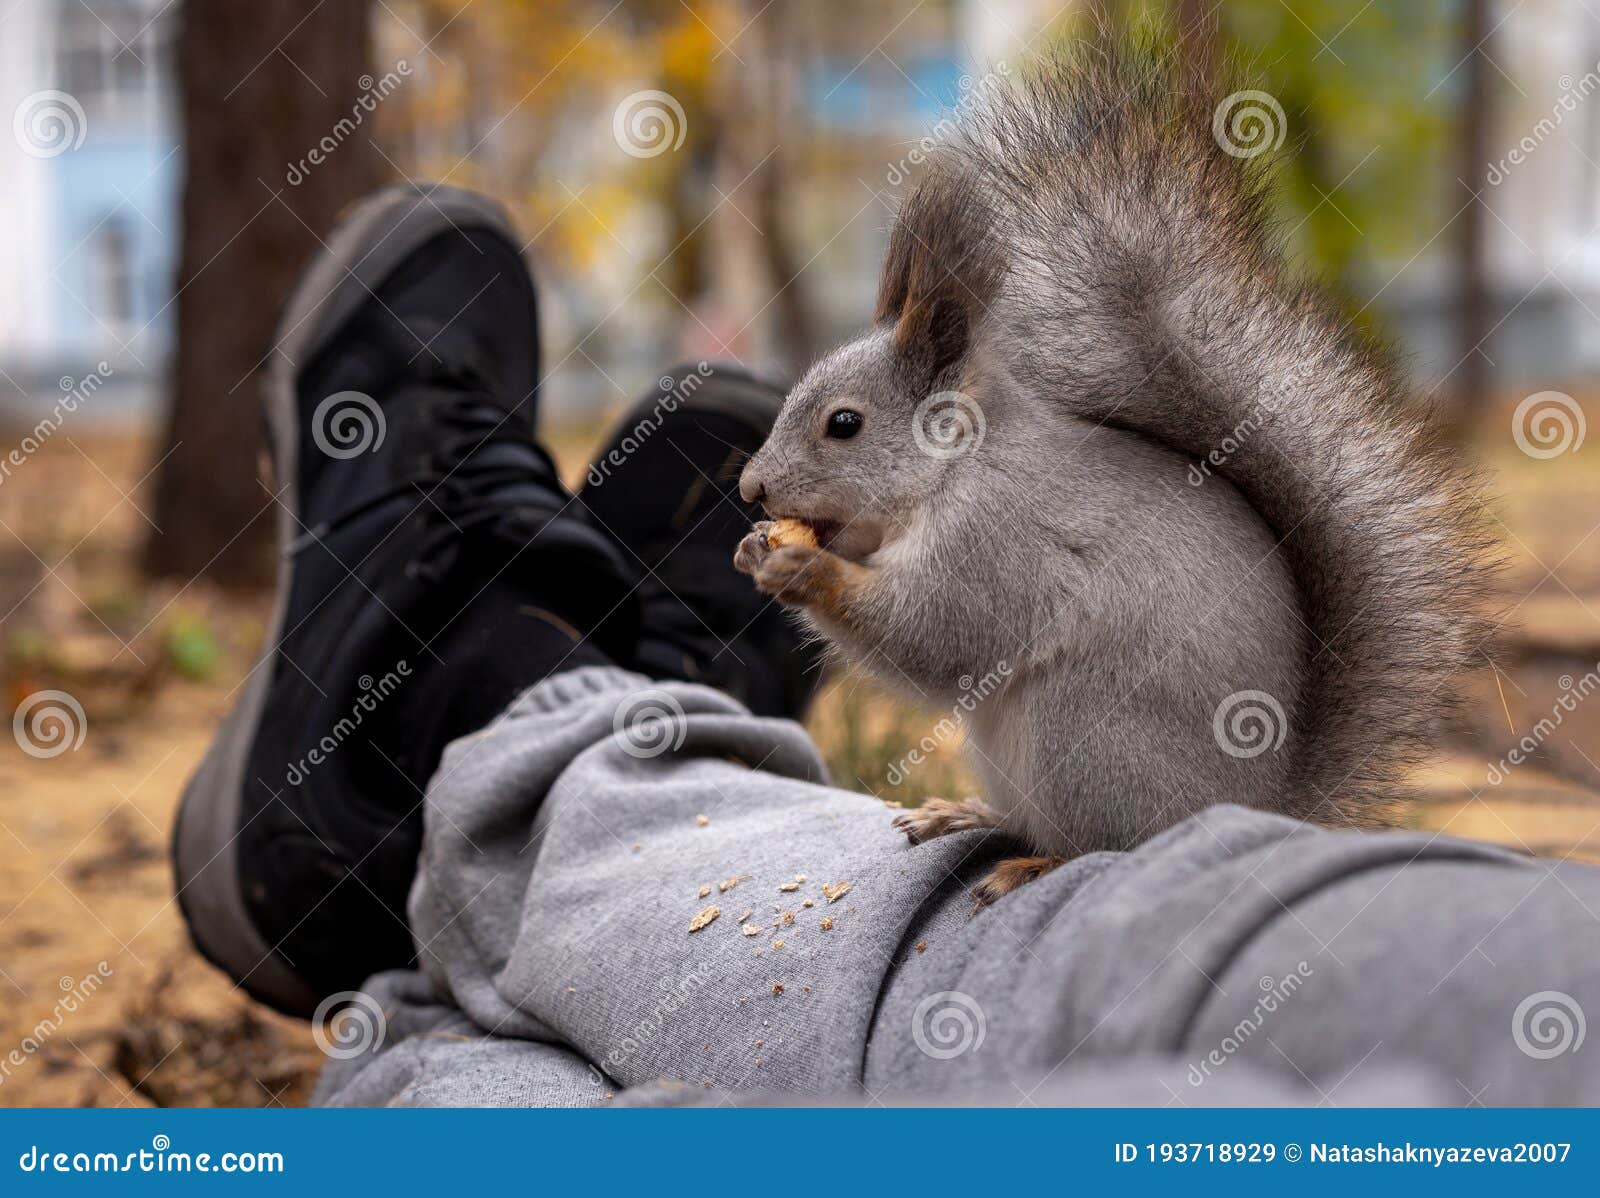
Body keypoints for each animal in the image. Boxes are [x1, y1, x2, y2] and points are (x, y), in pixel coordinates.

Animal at [733, 42, 1493, 906]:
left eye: (844, 425)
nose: (751, 490)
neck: (957, 472)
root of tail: (1254, 807)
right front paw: (757, 548)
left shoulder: (1000, 543)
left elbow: (939, 636)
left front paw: (806, 571)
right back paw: (968, 814)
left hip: (1088, 731)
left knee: (1110, 845)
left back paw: (1039, 862)